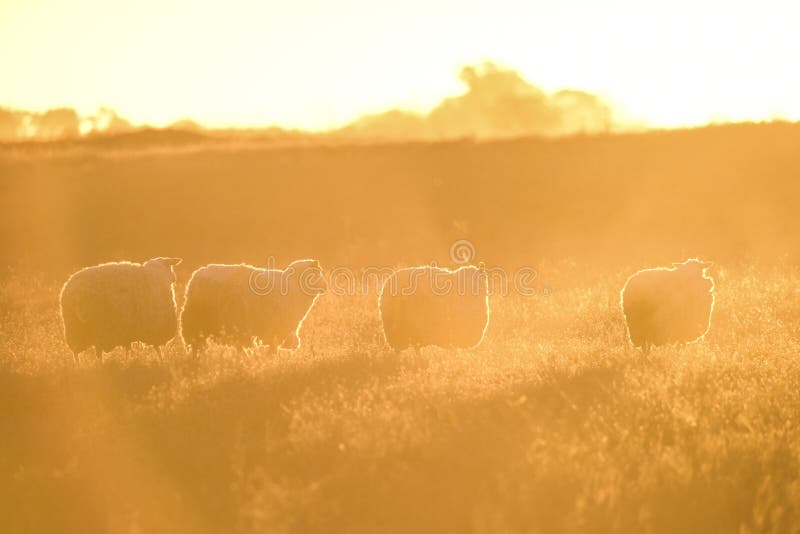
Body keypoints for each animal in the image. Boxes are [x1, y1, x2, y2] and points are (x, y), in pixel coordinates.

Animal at [180, 259, 326, 354]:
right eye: (318, 273)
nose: (325, 287)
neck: (294, 286)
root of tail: (196, 277)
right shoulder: (278, 329)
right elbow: (273, 350)